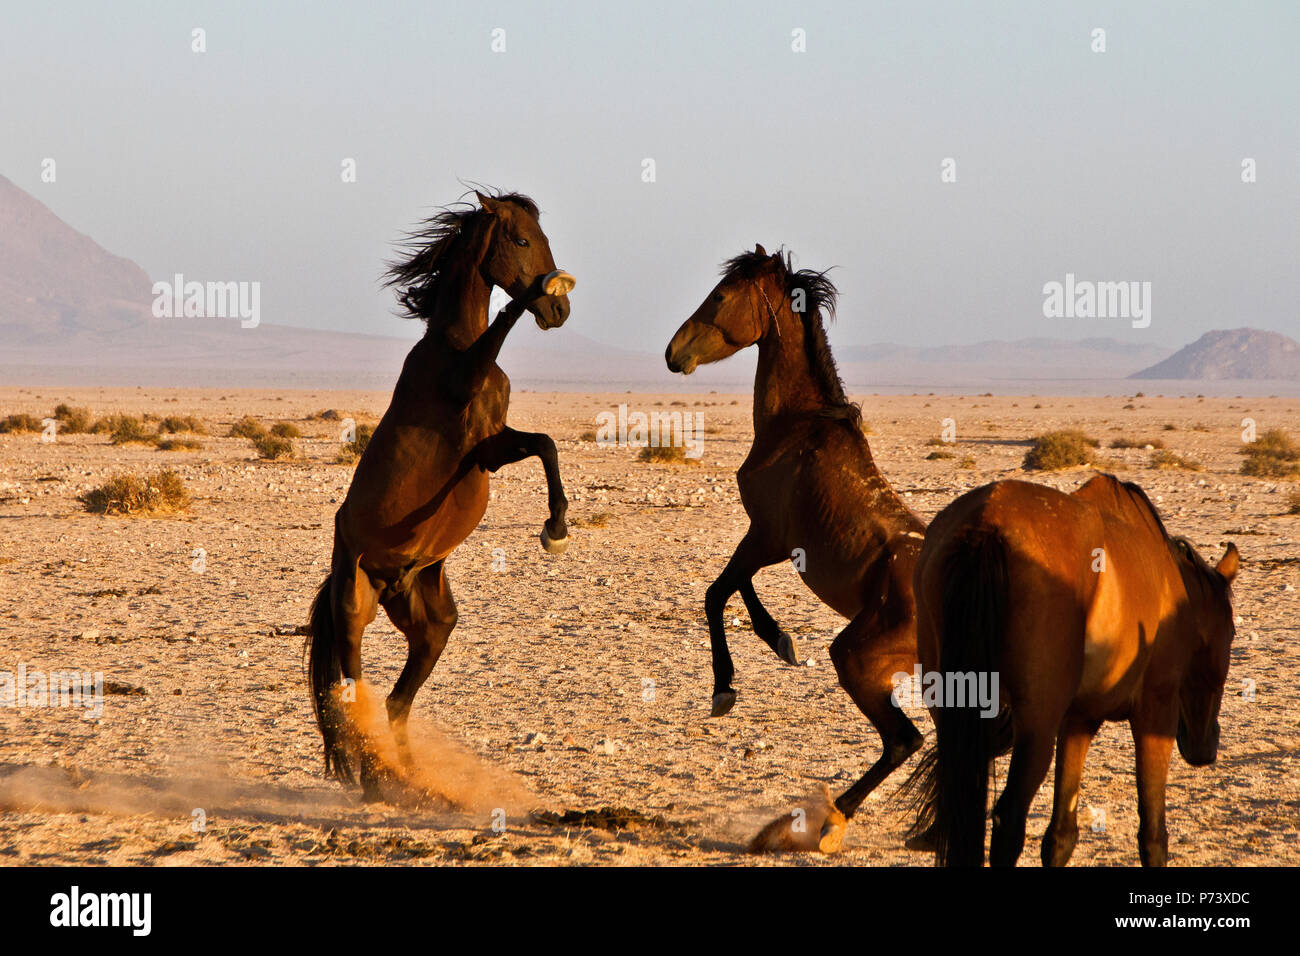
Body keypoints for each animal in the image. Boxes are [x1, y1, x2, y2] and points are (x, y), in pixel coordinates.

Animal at [304, 190, 575, 799]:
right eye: (521, 239)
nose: (559, 311)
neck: (453, 349)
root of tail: (386, 584)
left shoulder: (490, 449)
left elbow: (545, 444)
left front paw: (557, 528)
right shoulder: (473, 434)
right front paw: (555, 529)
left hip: (431, 626)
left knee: (396, 703)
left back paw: (415, 782)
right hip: (352, 610)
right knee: (356, 693)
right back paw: (376, 779)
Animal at [665, 245, 928, 851]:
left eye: (720, 296)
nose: (673, 352)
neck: (798, 425)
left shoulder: (768, 536)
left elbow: (718, 592)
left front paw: (726, 688)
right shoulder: (770, 541)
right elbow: (733, 588)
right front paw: (778, 640)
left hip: (856, 658)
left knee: (904, 741)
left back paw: (815, 825)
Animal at [908, 473, 1239, 866]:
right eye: (1231, 633)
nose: (1206, 745)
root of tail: (986, 524)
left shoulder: (1078, 720)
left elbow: (1061, 835)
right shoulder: (1155, 712)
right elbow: (1153, 835)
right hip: (1037, 727)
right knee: (1008, 819)